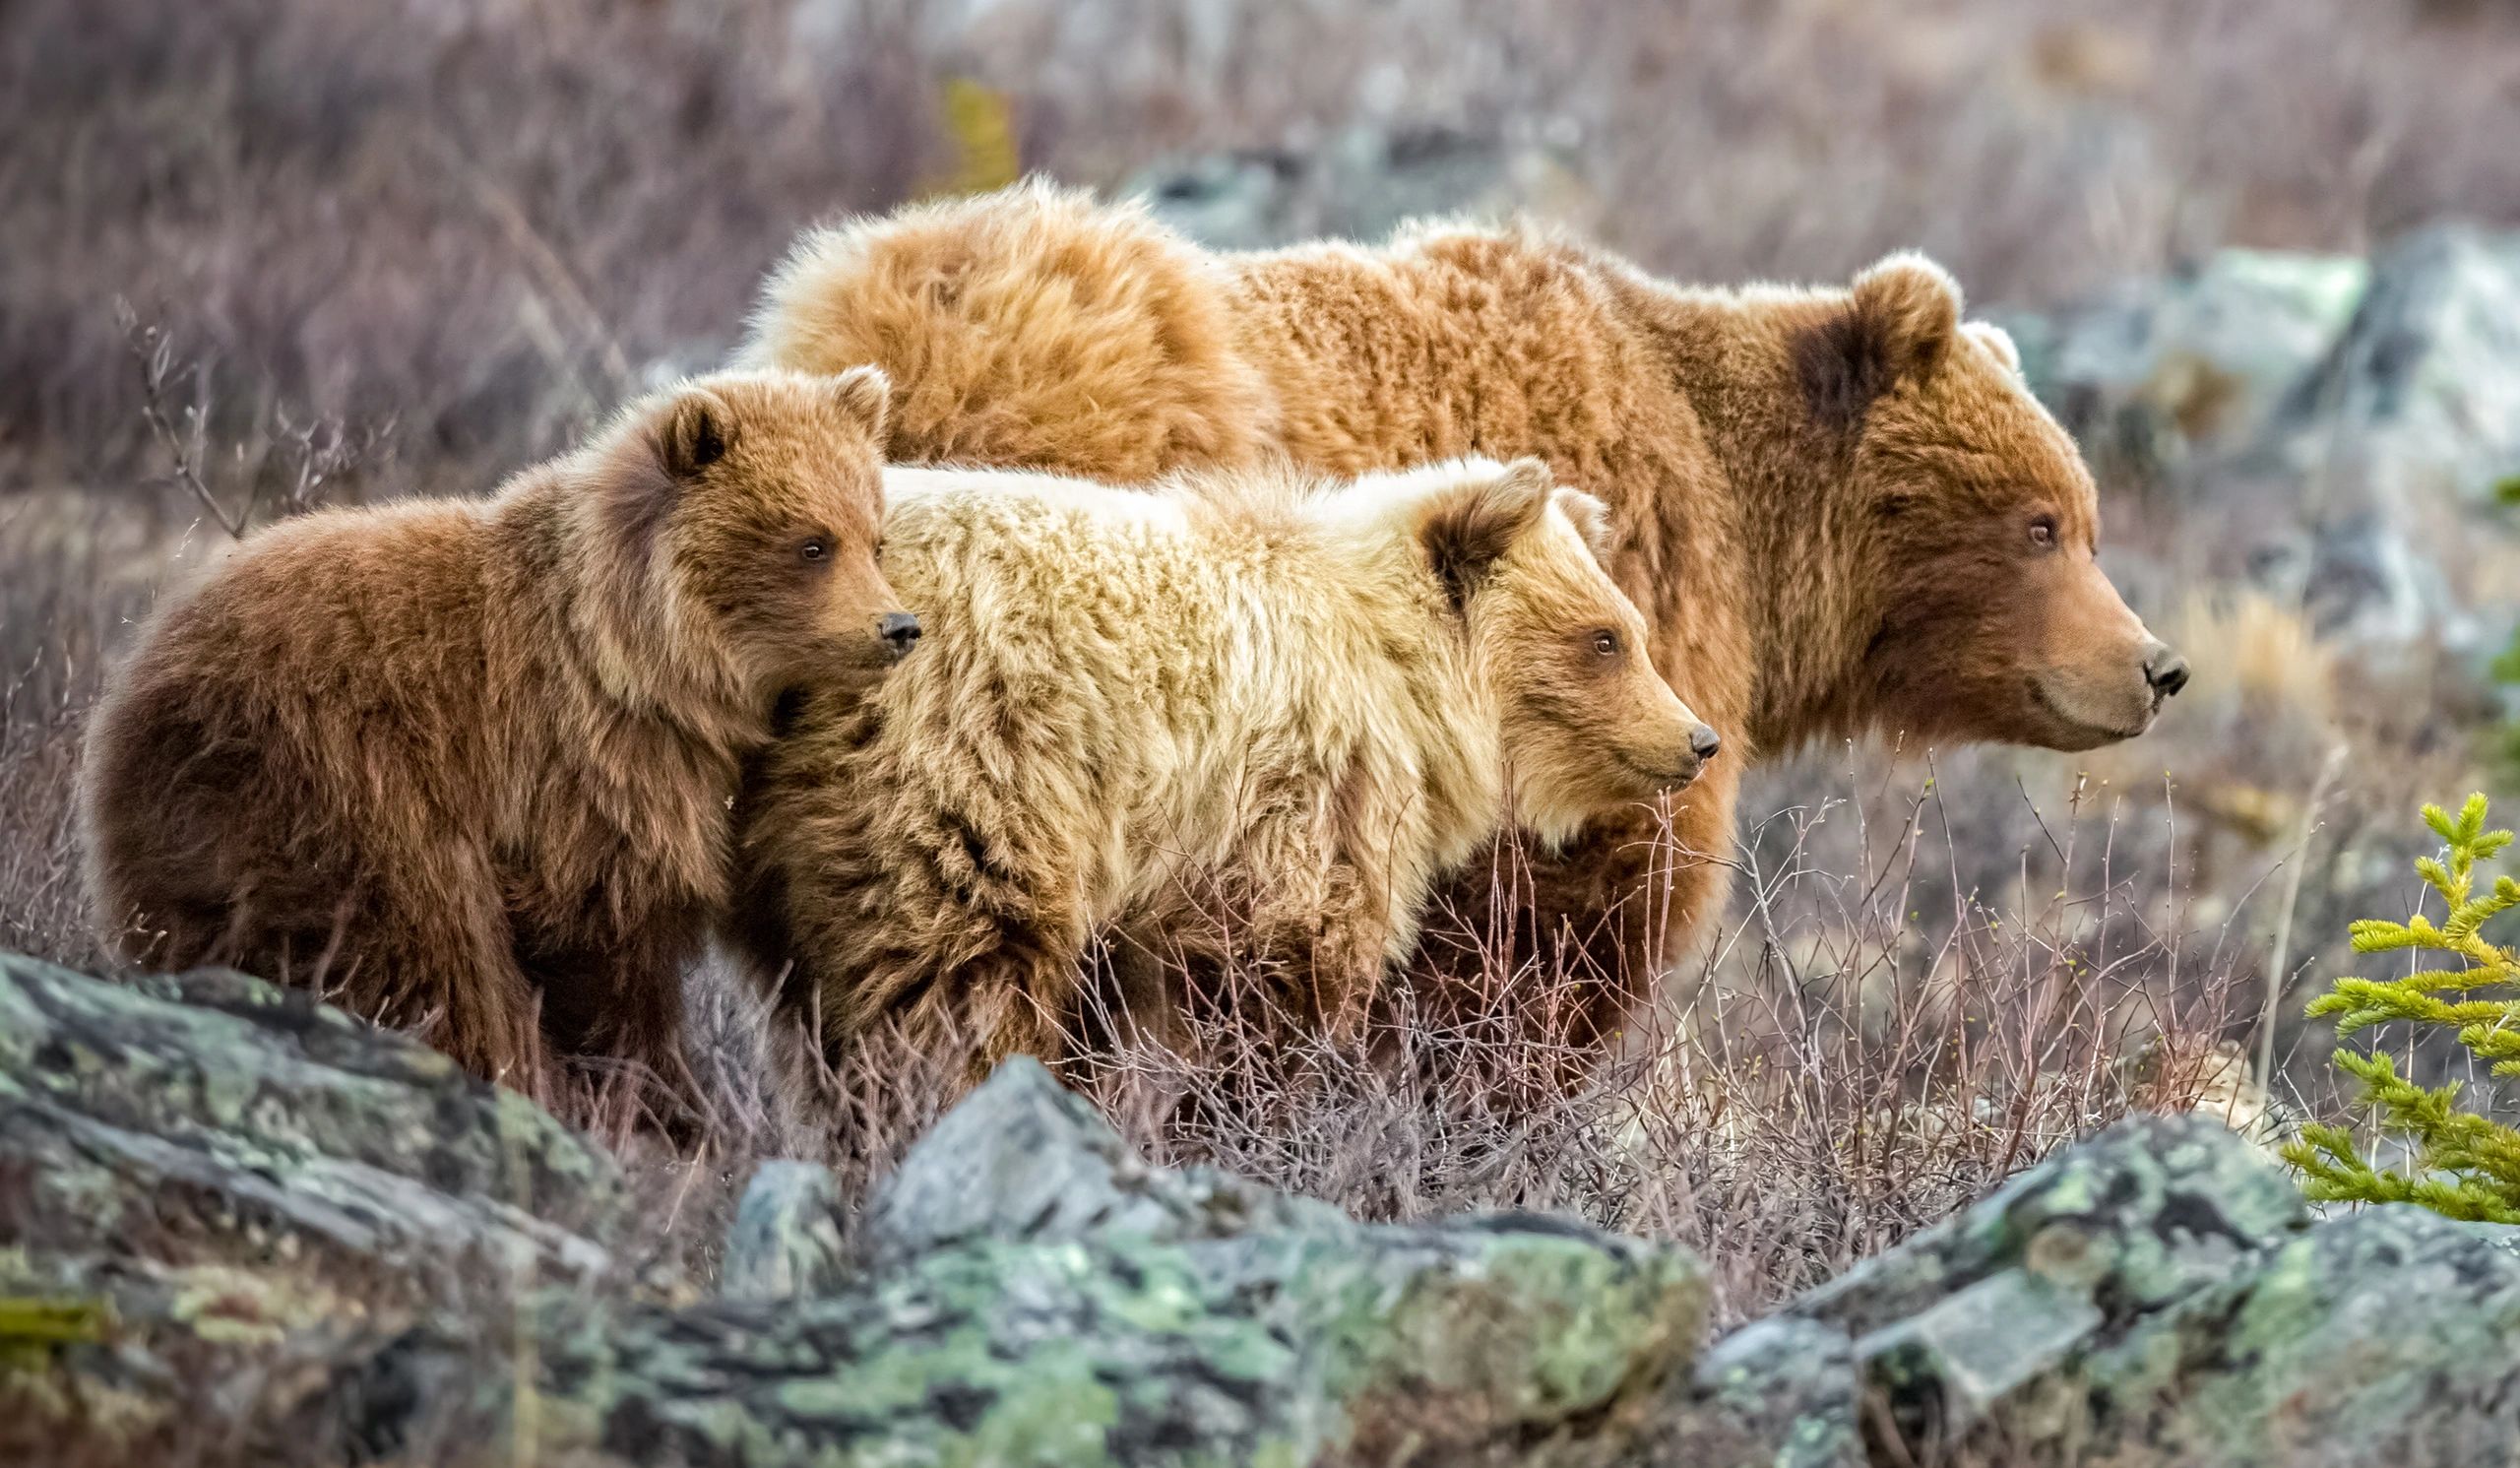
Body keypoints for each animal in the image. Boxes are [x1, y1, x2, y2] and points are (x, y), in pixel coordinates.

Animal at [80, 366, 914, 1093]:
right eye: (811, 542)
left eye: (873, 536)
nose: (899, 626)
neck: (640, 660)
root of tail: (142, 667)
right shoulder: (576, 761)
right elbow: (600, 945)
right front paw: (661, 1100)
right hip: (336, 789)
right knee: (426, 957)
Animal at [733, 455, 1719, 1075]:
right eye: (1604, 638)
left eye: (1631, 627)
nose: (1698, 738)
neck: (1395, 667)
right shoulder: (1294, 796)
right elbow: (1277, 981)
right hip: (967, 769)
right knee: (958, 972)